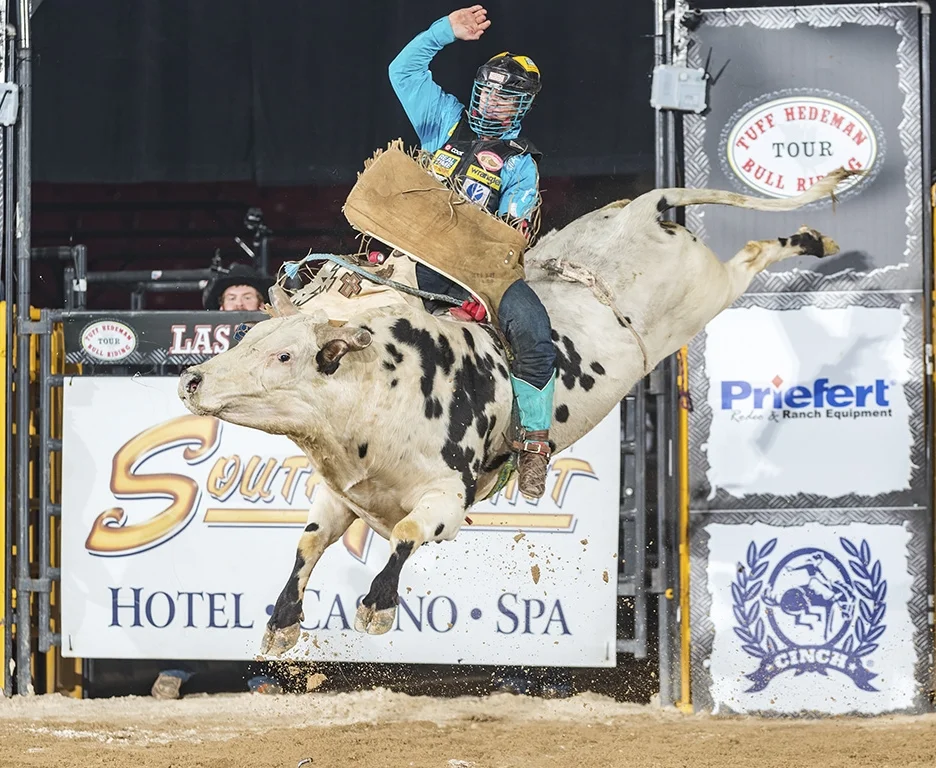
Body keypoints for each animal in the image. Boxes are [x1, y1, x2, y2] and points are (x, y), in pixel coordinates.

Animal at [178, 167, 858, 656]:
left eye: (284, 354)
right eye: (249, 338)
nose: (191, 379)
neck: (381, 390)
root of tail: (646, 207)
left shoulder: (449, 497)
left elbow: (406, 534)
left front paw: (375, 606)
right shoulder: (343, 492)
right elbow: (309, 543)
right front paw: (282, 623)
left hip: (708, 291)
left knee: (752, 254)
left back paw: (814, 239)